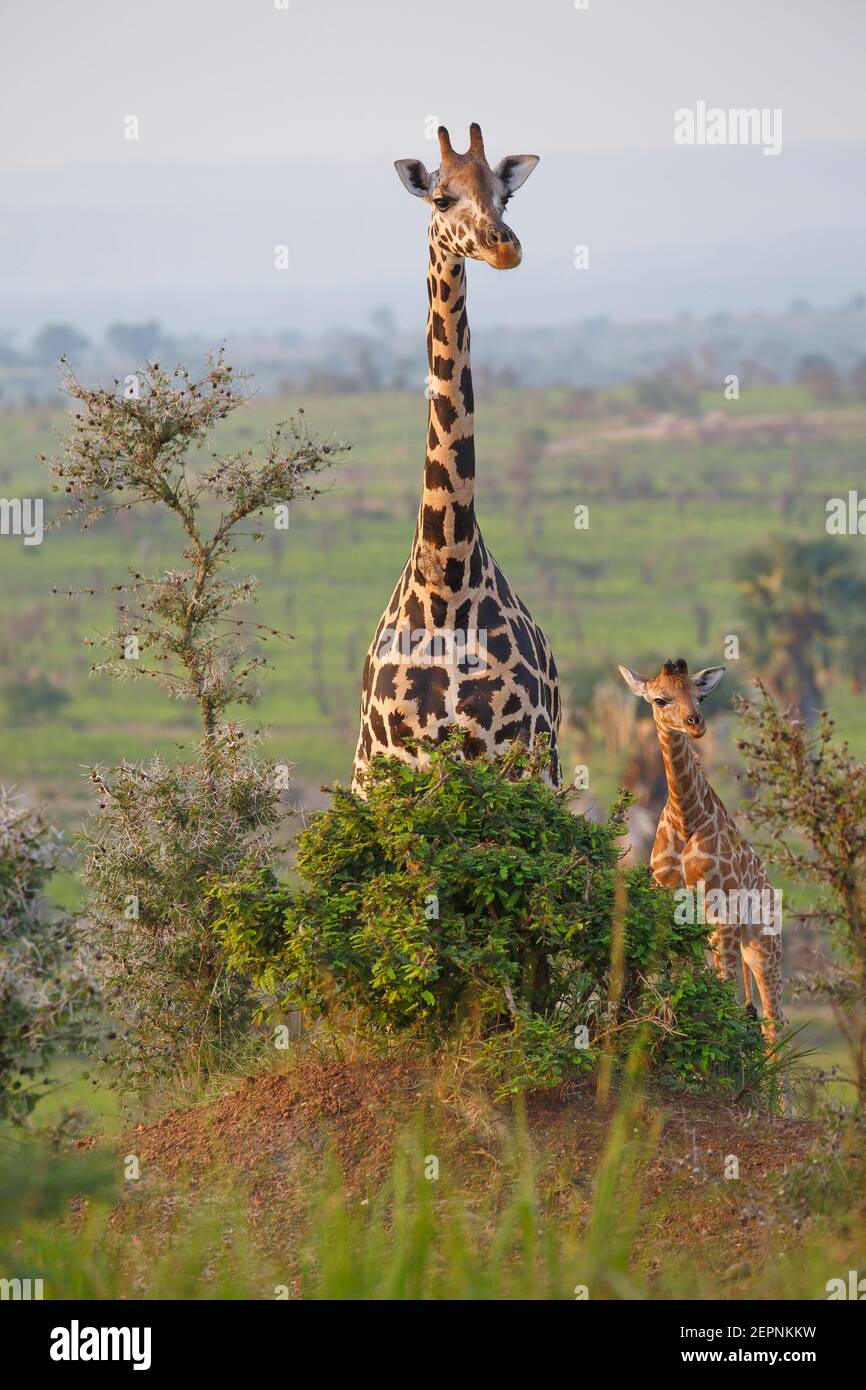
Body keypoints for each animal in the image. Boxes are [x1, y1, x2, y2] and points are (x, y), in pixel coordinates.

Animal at [352, 124, 561, 791]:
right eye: (442, 199)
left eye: (505, 195)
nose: (504, 246)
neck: (446, 581)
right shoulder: (384, 776)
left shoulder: (517, 766)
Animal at [617, 658, 785, 1045]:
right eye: (660, 700)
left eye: (701, 696)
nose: (696, 724)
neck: (686, 818)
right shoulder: (670, 905)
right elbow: (671, 983)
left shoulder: (721, 912)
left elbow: (723, 994)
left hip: (762, 943)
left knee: (774, 1024)